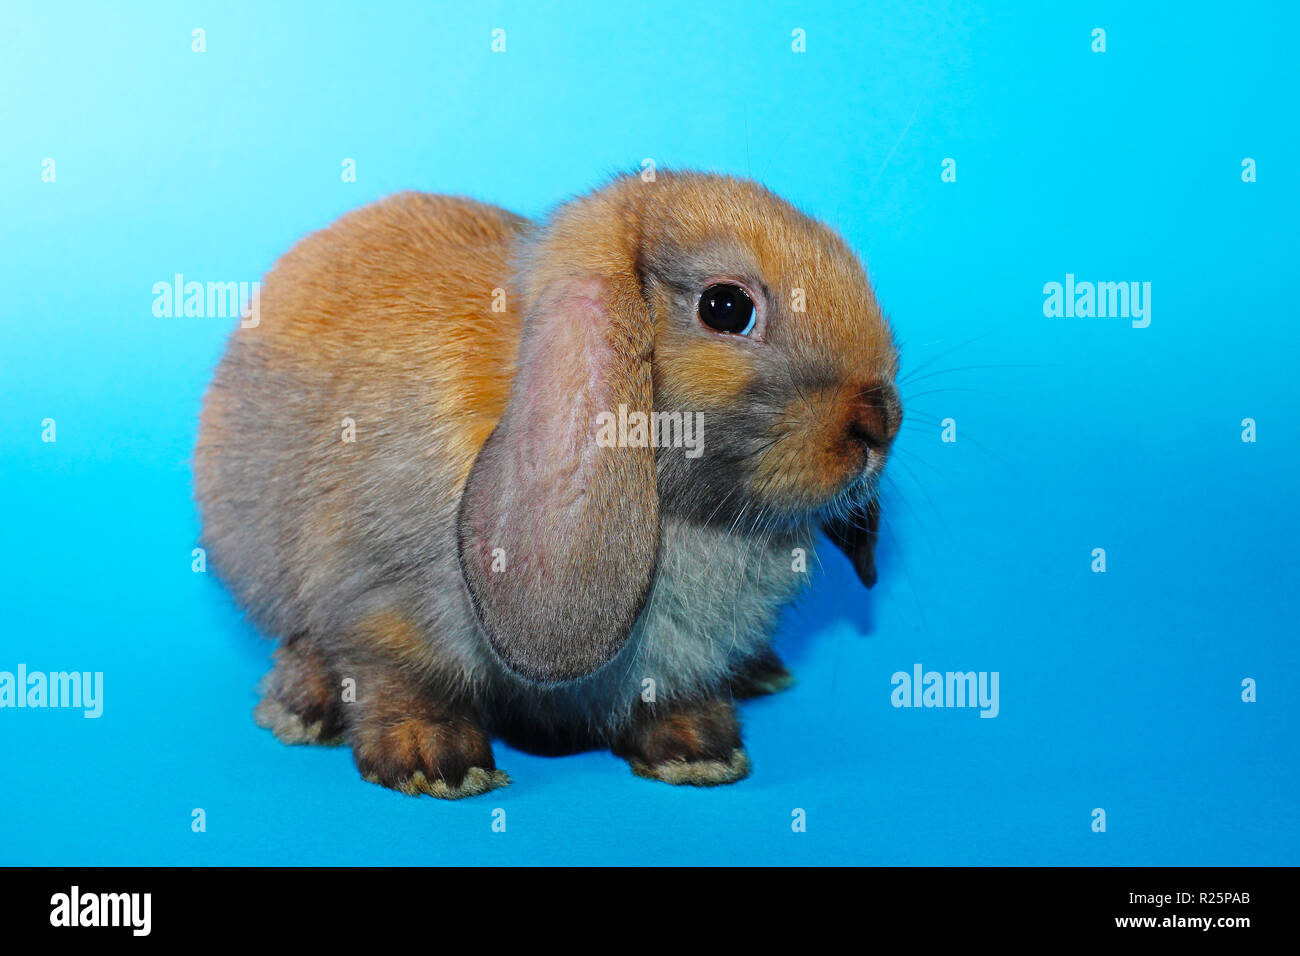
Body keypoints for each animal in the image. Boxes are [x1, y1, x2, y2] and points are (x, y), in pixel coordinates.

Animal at [194, 170, 902, 799]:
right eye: (726, 308)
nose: (880, 424)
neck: (684, 513)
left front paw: (698, 749)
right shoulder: (377, 601)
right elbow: (397, 679)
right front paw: (435, 762)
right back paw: (301, 711)